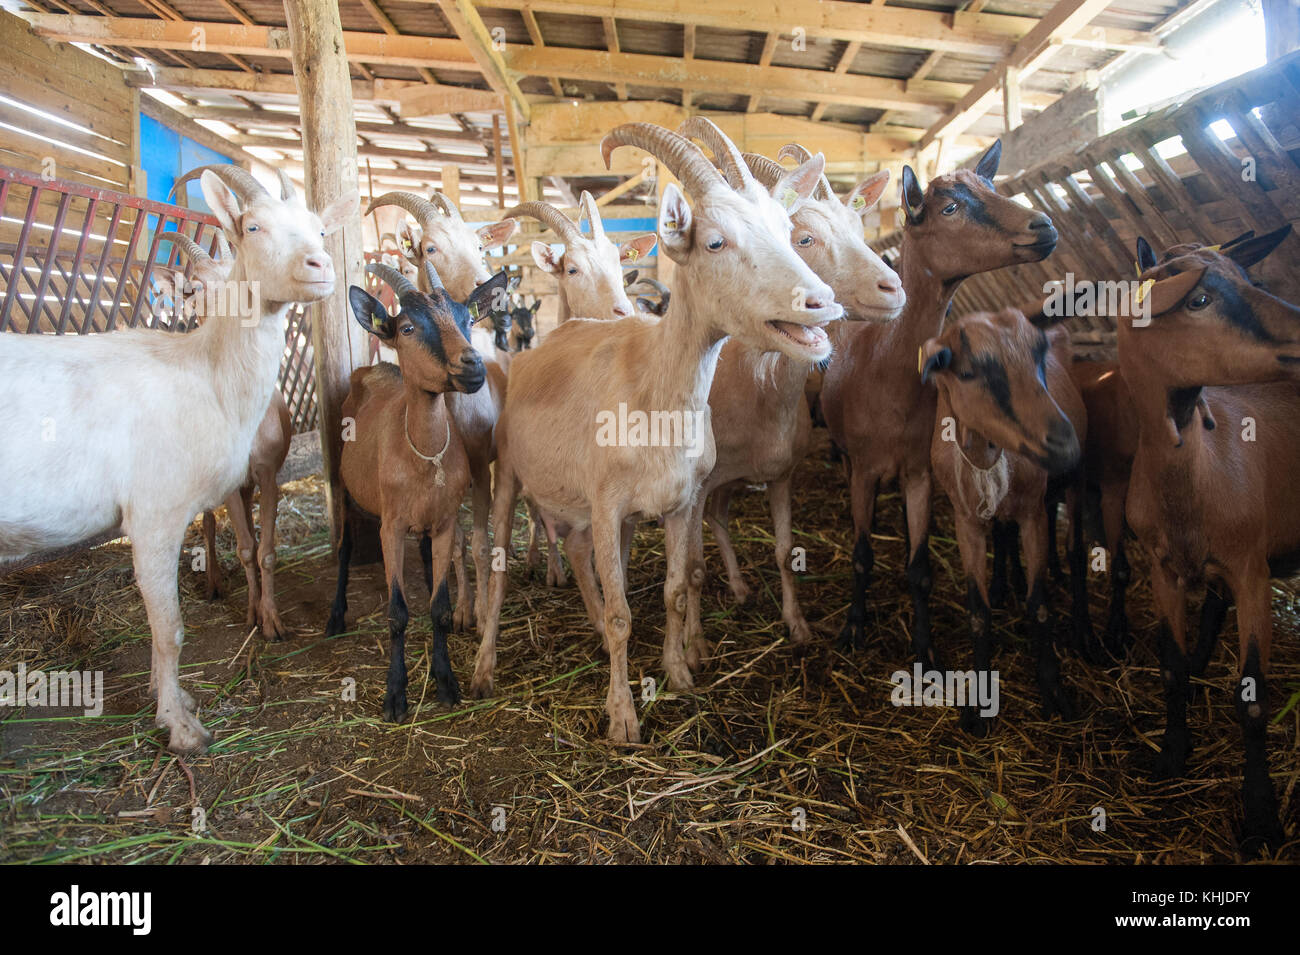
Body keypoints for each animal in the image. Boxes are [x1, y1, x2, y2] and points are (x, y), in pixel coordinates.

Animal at [0, 166, 356, 753]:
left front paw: (170, 698)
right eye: (253, 226)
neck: (205, 373)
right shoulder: (154, 516)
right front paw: (181, 725)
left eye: (320, 230)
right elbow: (169, 627)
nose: (320, 266)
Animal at [325, 262, 508, 719]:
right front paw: (395, 696)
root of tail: (372, 369)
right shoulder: (390, 527)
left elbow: (440, 609)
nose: (472, 365)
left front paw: (446, 683)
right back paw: (334, 618)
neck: (423, 457)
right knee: (344, 549)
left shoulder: (443, 522)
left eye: (465, 319)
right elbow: (396, 613)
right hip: (345, 489)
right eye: (407, 327)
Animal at [820, 140, 1059, 675]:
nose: (1044, 226)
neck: (886, 371)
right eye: (949, 208)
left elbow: (921, 570)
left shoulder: (919, 473)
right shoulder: (865, 468)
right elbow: (861, 556)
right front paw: (853, 628)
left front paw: (925, 650)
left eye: (991, 186)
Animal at [920, 309, 1084, 731]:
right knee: (1003, 536)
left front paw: (1053, 691)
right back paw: (1002, 584)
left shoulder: (1033, 513)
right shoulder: (966, 521)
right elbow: (978, 614)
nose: (1065, 444)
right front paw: (978, 706)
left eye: (1039, 355)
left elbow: (1039, 606)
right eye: (966, 371)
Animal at [1120, 226, 1298, 853]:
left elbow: (1253, 699)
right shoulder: (1162, 568)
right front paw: (1172, 754)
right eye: (1198, 299)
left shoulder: (1253, 573)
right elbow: (1171, 668)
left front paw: (1262, 818)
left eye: (1250, 279)